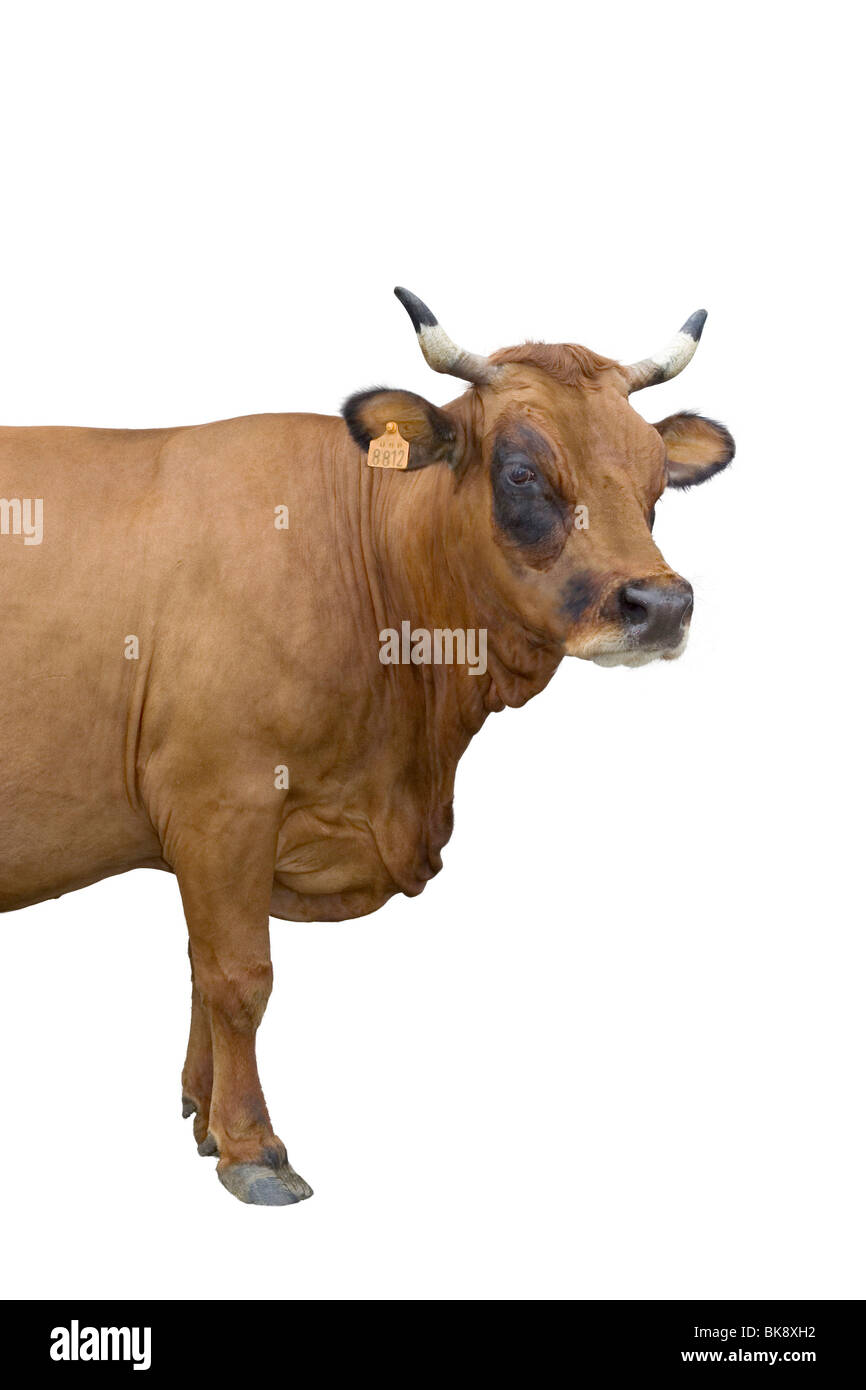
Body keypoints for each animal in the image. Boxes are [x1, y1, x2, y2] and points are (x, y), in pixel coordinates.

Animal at [0, 289, 734, 1205]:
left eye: (655, 476)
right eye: (521, 472)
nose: (661, 605)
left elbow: (203, 969)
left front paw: (204, 1116)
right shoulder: (224, 801)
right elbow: (239, 978)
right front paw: (253, 1148)